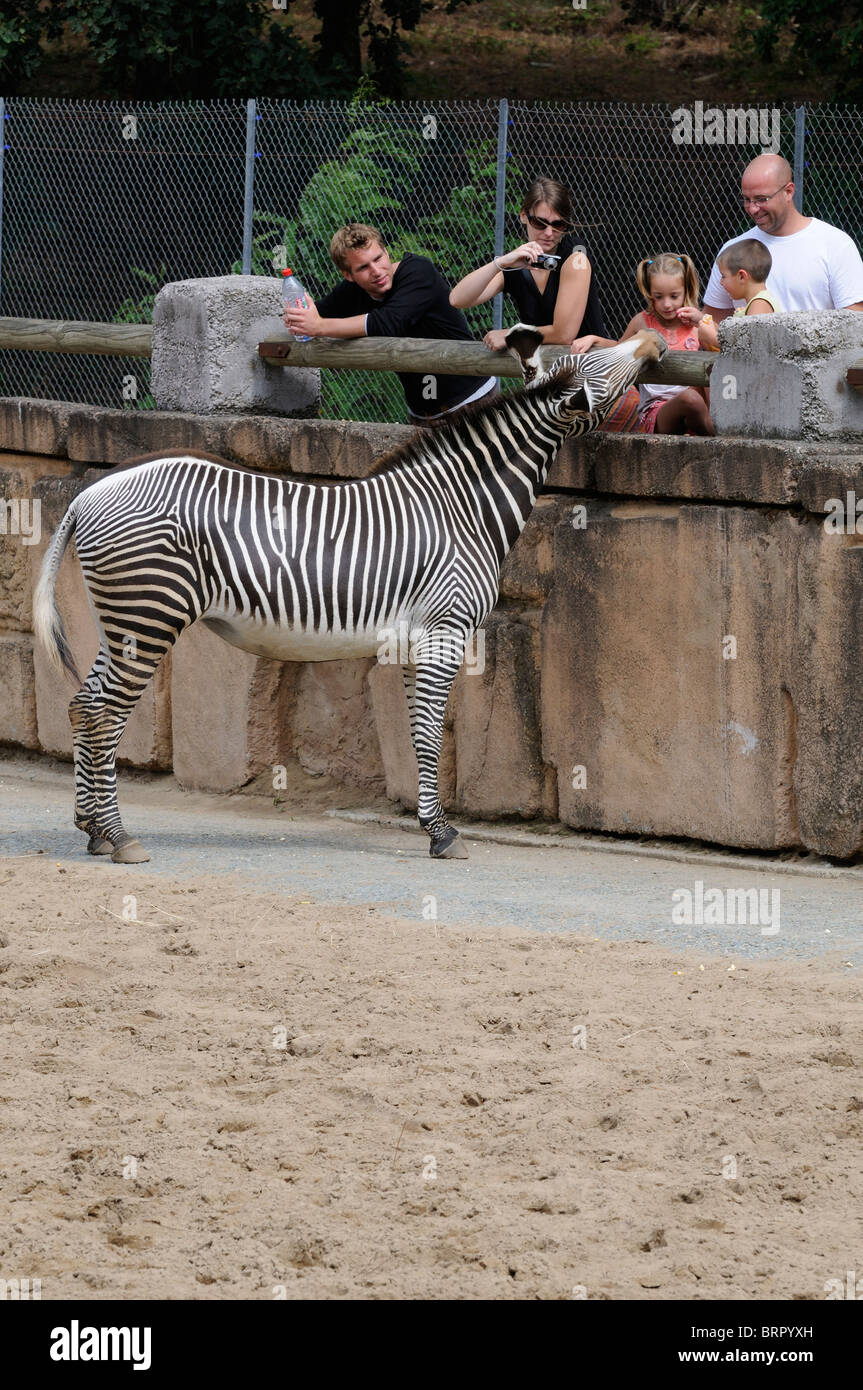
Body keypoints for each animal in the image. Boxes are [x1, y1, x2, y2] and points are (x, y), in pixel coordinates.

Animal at [34, 323, 665, 865]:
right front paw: (442, 834)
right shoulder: (445, 629)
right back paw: (120, 837)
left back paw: (91, 829)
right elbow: (429, 736)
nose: (655, 340)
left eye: (600, 348)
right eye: (606, 364)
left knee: (81, 704)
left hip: (121, 623)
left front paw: (429, 823)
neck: (461, 504)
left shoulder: (417, 639)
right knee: (103, 714)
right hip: (150, 614)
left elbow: (417, 733)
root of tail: (88, 494)